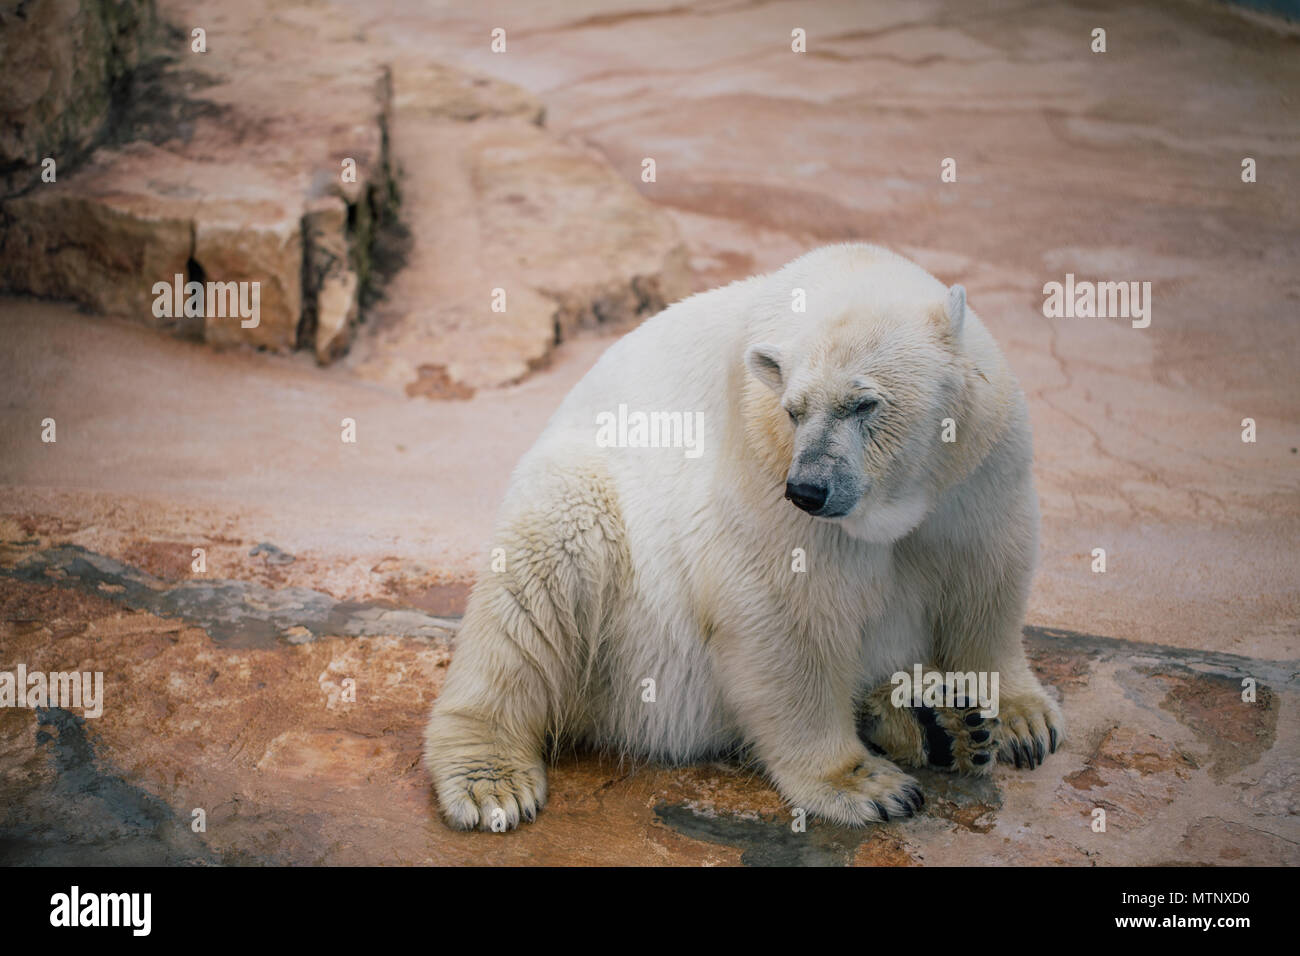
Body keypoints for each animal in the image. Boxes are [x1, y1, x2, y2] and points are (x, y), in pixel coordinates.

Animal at [423, 243, 1065, 831]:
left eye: (863, 403)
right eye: (793, 410)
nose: (808, 488)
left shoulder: (979, 457)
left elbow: (990, 572)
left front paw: (1019, 721)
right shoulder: (762, 459)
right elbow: (783, 609)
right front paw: (865, 785)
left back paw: (941, 723)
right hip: (612, 579)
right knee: (537, 586)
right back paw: (490, 781)